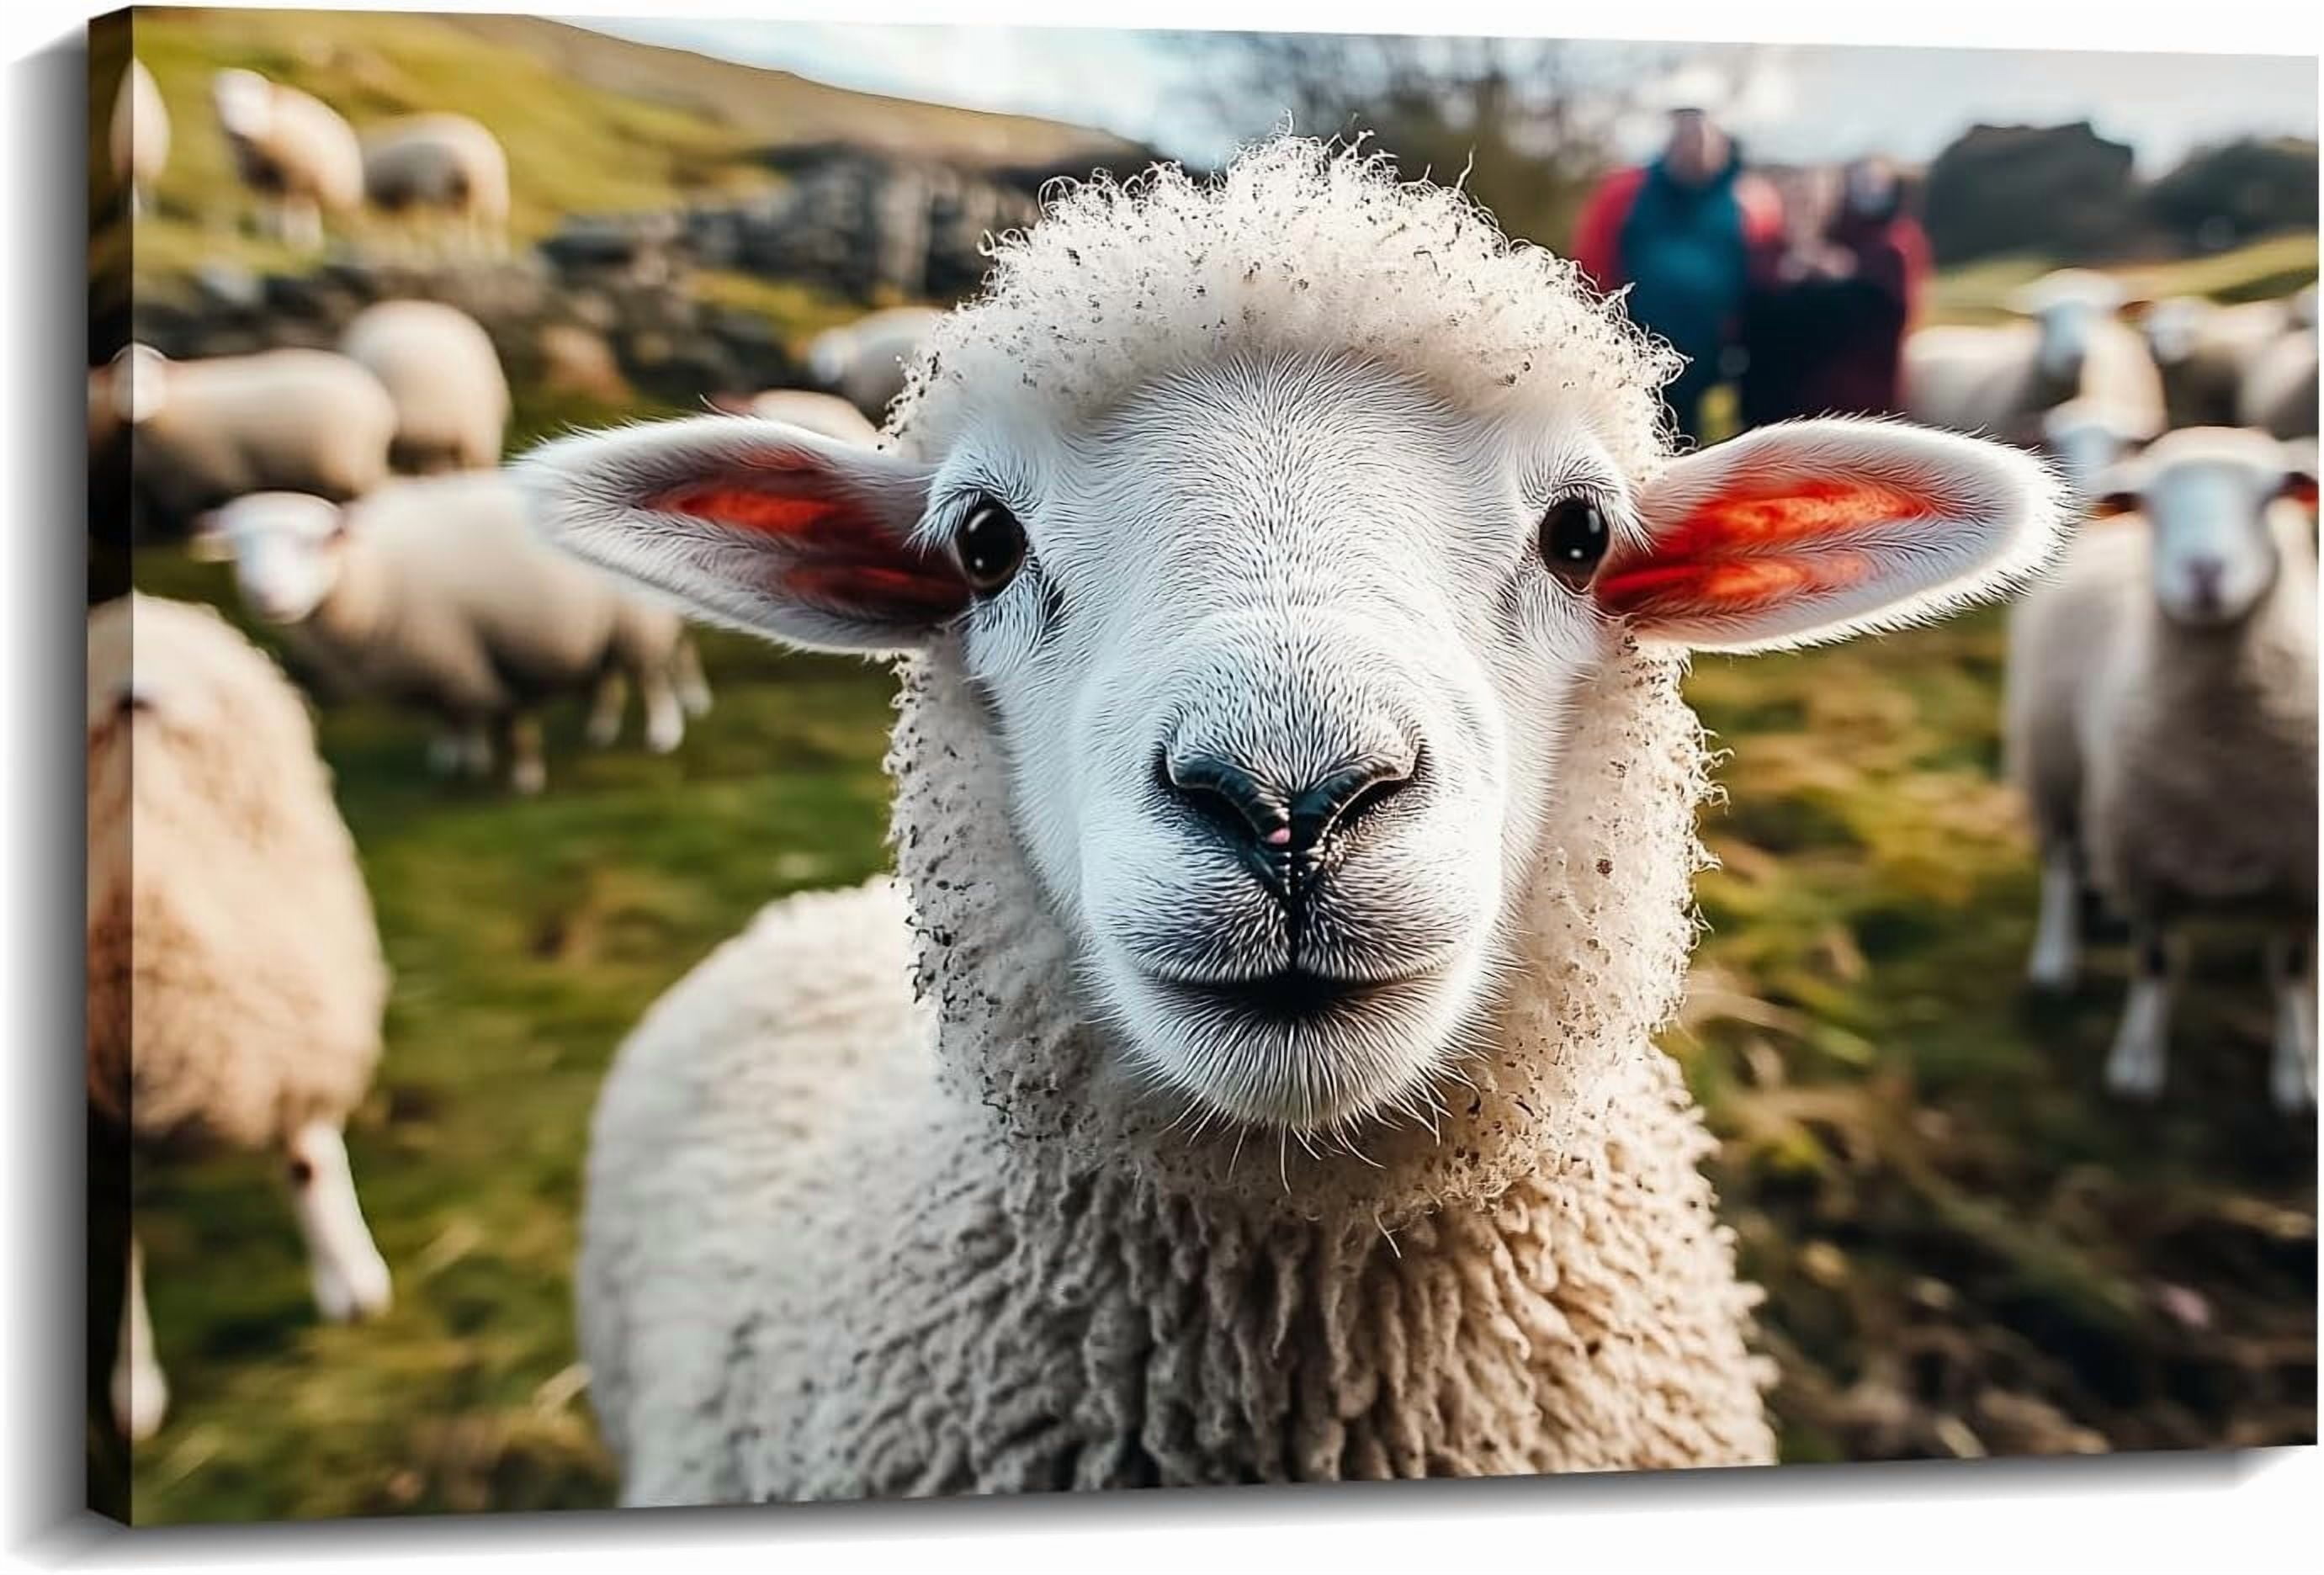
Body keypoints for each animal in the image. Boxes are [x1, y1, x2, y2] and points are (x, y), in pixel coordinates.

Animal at [106, 344, 397, 535]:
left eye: (148, 380)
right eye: (121, 381)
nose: (133, 407)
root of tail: (382, 405)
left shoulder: (215, 477)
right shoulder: (153, 485)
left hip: (344, 465)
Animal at [193, 472, 709, 795]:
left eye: (313, 542)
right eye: (236, 547)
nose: (267, 596)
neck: (371, 572)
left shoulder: (467, 651)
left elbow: (496, 720)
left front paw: (505, 774)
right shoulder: (430, 665)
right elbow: (450, 717)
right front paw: (454, 757)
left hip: (640, 620)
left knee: (650, 676)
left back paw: (664, 731)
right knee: (611, 675)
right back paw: (602, 726)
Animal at [210, 68, 363, 251]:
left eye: (252, 105)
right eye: (222, 103)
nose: (237, 130)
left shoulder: (294, 176)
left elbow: (292, 210)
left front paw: (291, 239)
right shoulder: (261, 177)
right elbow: (266, 206)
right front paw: (265, 233)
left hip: (314, 182)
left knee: (305, 208)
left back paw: (307, 240)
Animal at [2004, 427, 2317, 1112]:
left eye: (2271, 495)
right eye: (2151, 503)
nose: (2204, 573)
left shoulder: (2300, 876)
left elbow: (2291, 971)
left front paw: (2299, 1069)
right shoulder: (2142, 857)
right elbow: (2155, 963)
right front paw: (2137, 1063)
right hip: (2053, 761)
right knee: (2062, 863)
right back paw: (2054, 958)